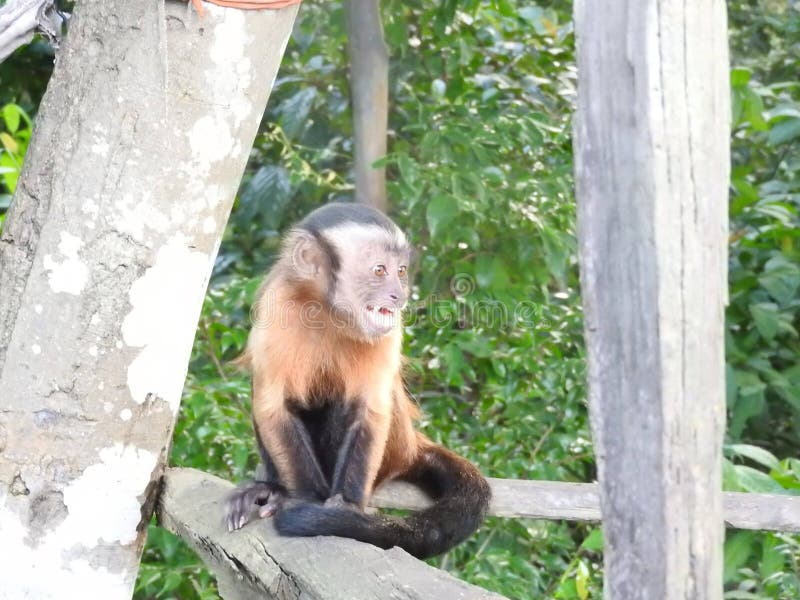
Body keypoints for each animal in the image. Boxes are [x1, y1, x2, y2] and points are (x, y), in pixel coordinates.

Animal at [225, 202, 491, 559]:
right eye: (379, 270)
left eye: (401, 271)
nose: (399, 294)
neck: (327, 310)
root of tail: (411, 444)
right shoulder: (277, 302)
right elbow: (273, 406)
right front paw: (302, 499)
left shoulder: (390, 327)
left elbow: (369, 410)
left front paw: (343, 509)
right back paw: (273, 489)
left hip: (393, 453)